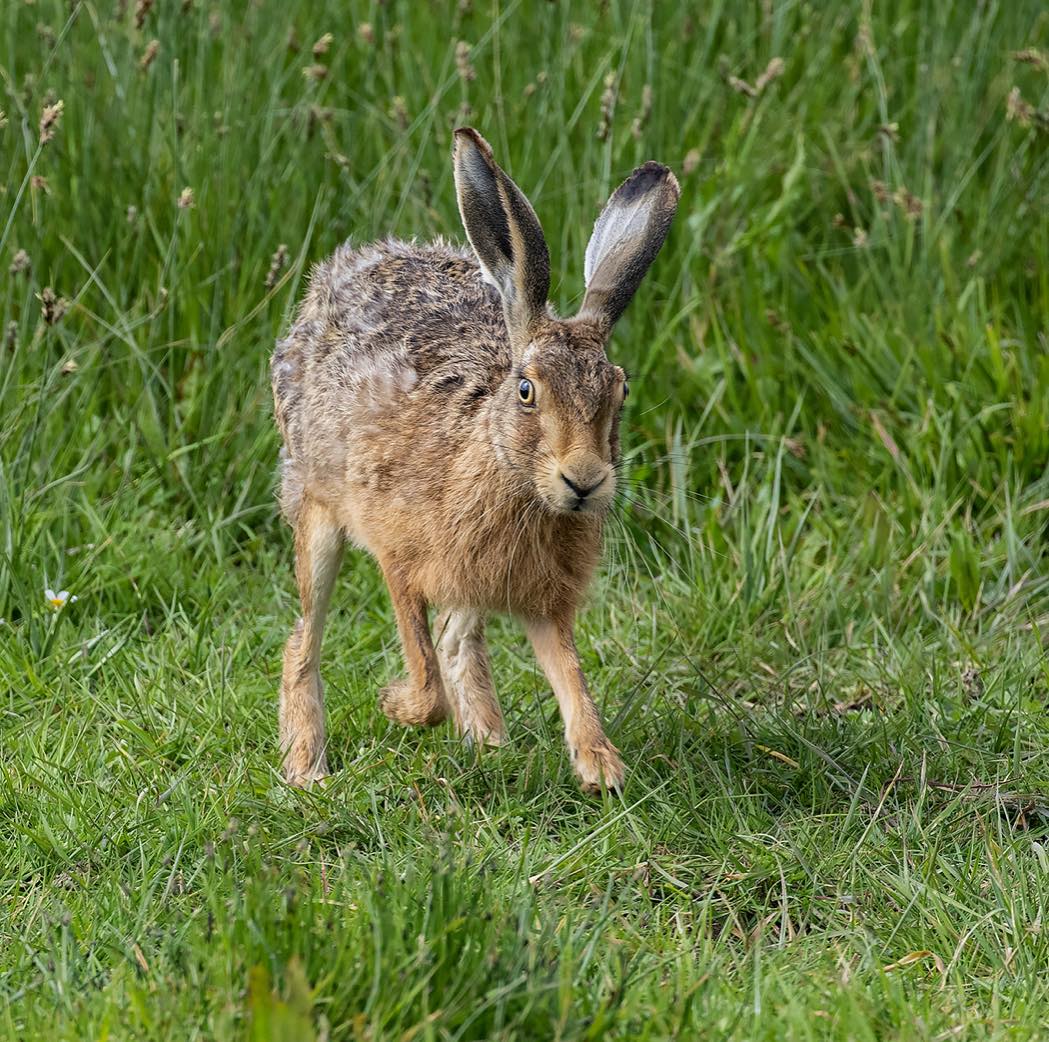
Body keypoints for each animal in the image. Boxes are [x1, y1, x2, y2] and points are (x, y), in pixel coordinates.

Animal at [271, 128, 679, 793]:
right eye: (527, 390)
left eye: (620, 394)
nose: (584, 481)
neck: (513, 476)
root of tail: (335, 277)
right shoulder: (400, 562)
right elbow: (426, 680)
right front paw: (394, 704)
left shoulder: (544, 602)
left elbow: (570, 676)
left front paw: (601, 767)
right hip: (316, 506)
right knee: (304, 638)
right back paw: (308, 769)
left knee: (458, 639)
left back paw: (489, 745)